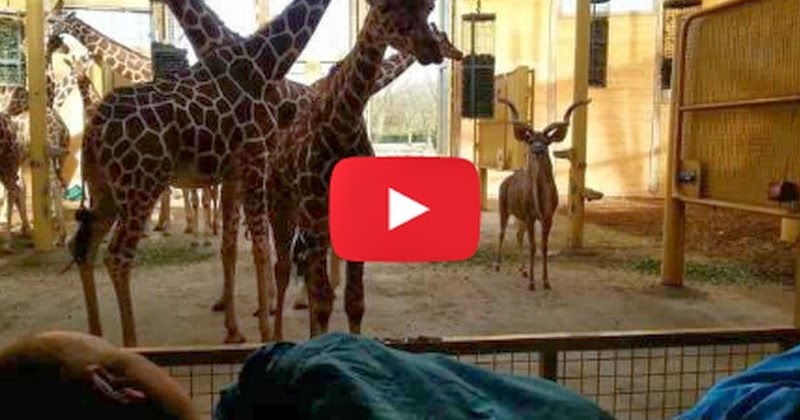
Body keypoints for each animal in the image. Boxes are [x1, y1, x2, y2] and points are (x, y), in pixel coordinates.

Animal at [66, 0, 333, 347]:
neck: (260, 62)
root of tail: (94, 129)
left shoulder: (233, 174)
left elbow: (231, 247)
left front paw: (235, 328)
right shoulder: (253, 162)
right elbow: (261, 247)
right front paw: (263, 331)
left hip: (107, 190)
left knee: (84, 246)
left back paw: (95, 338)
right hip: (140, 186)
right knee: (116, 256)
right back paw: (130, 345)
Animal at [267, 0, 462, 339]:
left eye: (429, 7)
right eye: (384, 7)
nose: (433, 49)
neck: (343, 123)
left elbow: (353, 301)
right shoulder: (315, 217)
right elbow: (324, 300)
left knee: (304, 272)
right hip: (280, 203)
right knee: (282, 268)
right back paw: (276, 336)